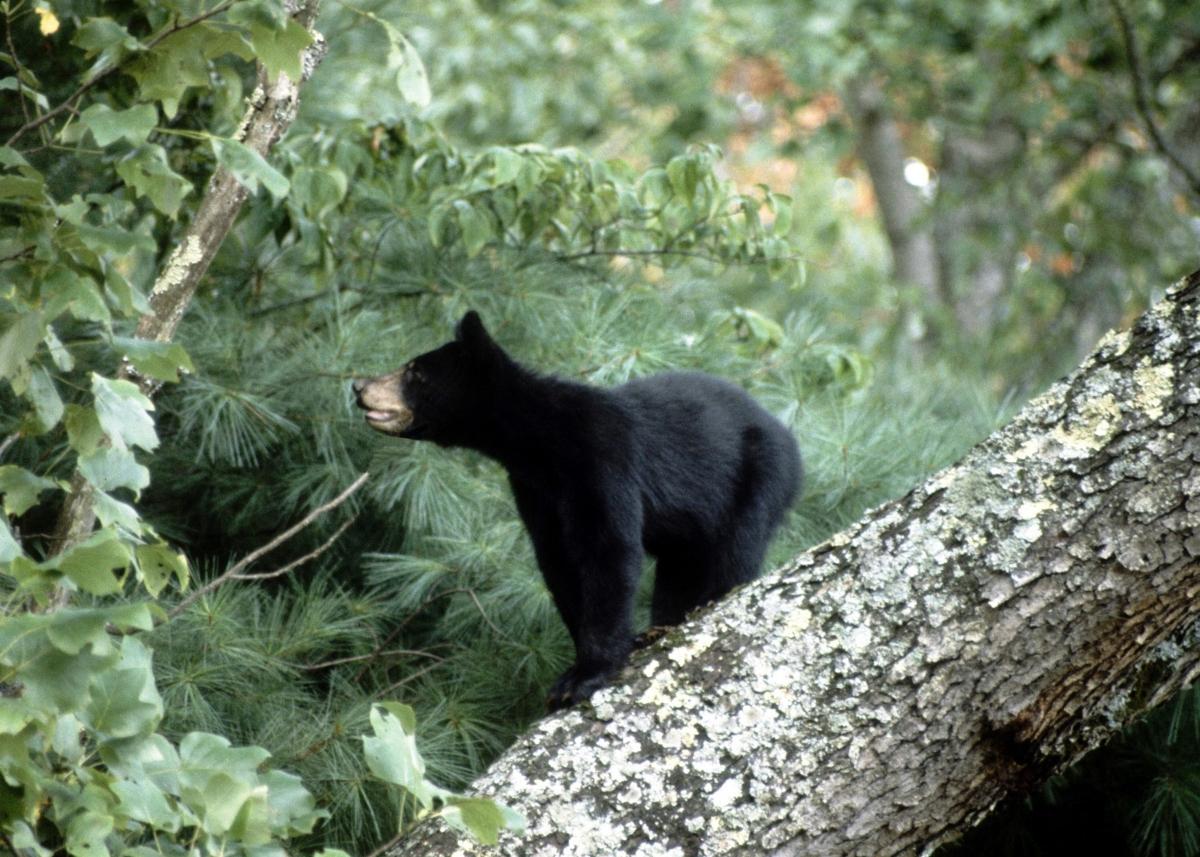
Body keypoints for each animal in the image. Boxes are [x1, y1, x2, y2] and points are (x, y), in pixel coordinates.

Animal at [353, 311, 802, 709]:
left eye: (414, 371)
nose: (358, 384)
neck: (540, 444)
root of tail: (787, 436)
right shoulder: (536, 492)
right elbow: (559, 564)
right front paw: (579, 664)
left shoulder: (603, 460)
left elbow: (608, 552)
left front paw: (586, 676)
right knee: (681, 566)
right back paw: (662, 625)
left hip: (759, 475)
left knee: (736, 552)